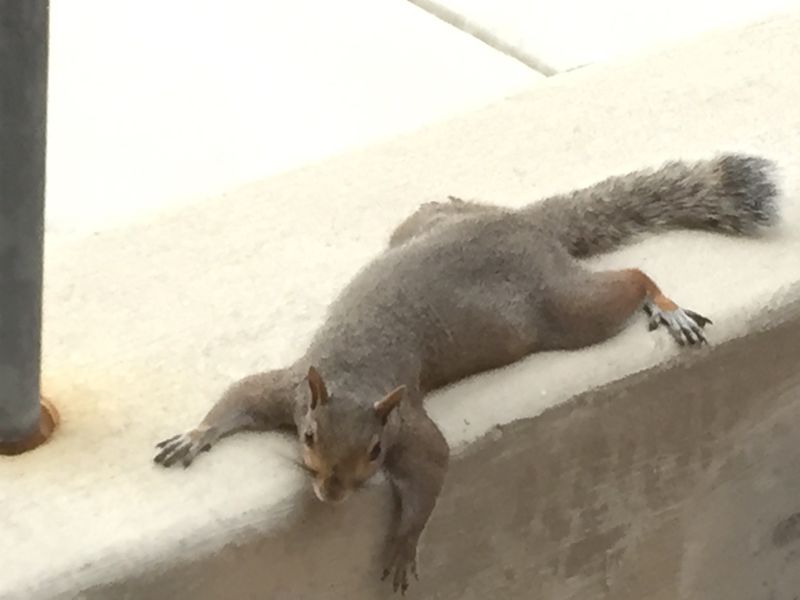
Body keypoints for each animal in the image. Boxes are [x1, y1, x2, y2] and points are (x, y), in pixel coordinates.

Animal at [154, 153, 778, 593]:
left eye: (375, 452)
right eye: (308, 435)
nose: (332, 493)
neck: (354, 377)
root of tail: (525, 225)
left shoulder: (408, 425)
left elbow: (434, 468)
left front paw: (403, 545)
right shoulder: (288, 388)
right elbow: (238, 395)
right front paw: (194, 437)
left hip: (566, 310)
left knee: (631, 278)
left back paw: (663, 304)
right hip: (423, 227)